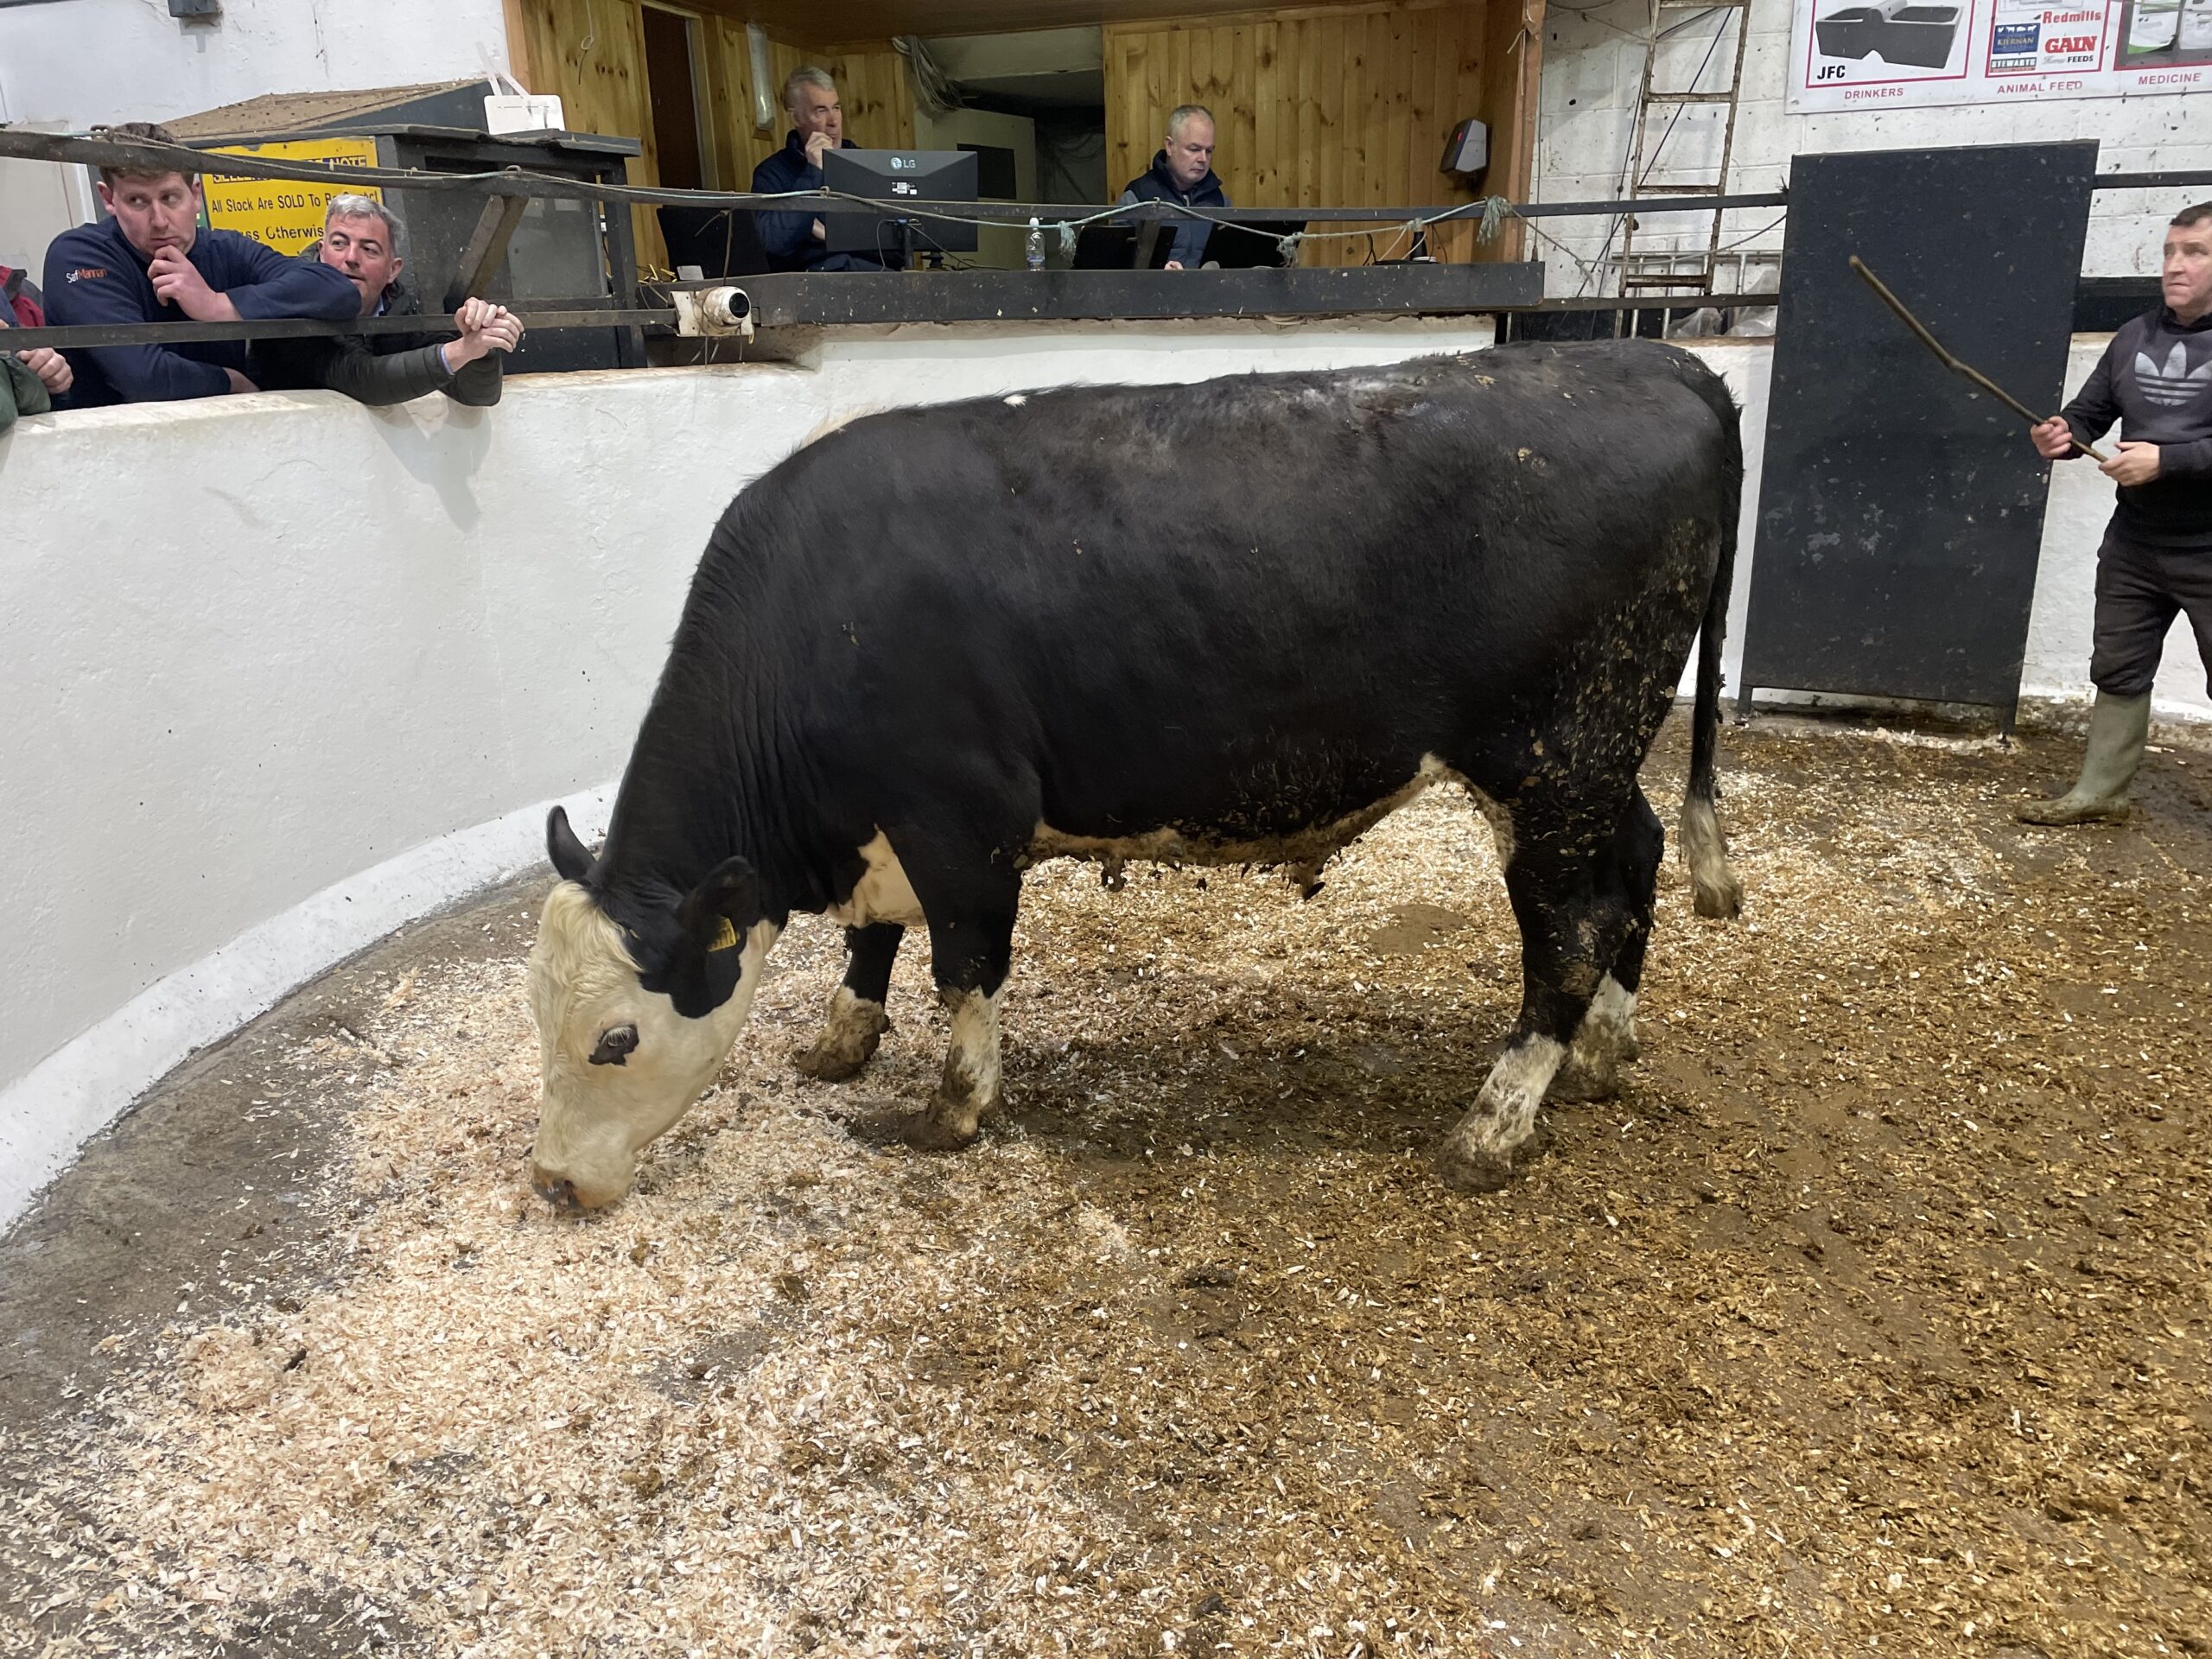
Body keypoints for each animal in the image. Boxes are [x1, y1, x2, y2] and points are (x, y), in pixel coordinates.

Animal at [525, 338, 1743, 1210]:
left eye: (615, 1039)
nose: (552, 1181)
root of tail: (1652, 361)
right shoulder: (881, 823)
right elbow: (871, 940)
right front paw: (841, 1041)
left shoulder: (962, 816)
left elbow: (963, 967)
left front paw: (955, 1110)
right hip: (1593, 760)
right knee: (1634, 865)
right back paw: (1602, 1053)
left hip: (1552, 757)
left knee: (1570, 931)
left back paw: (1494, 1122)